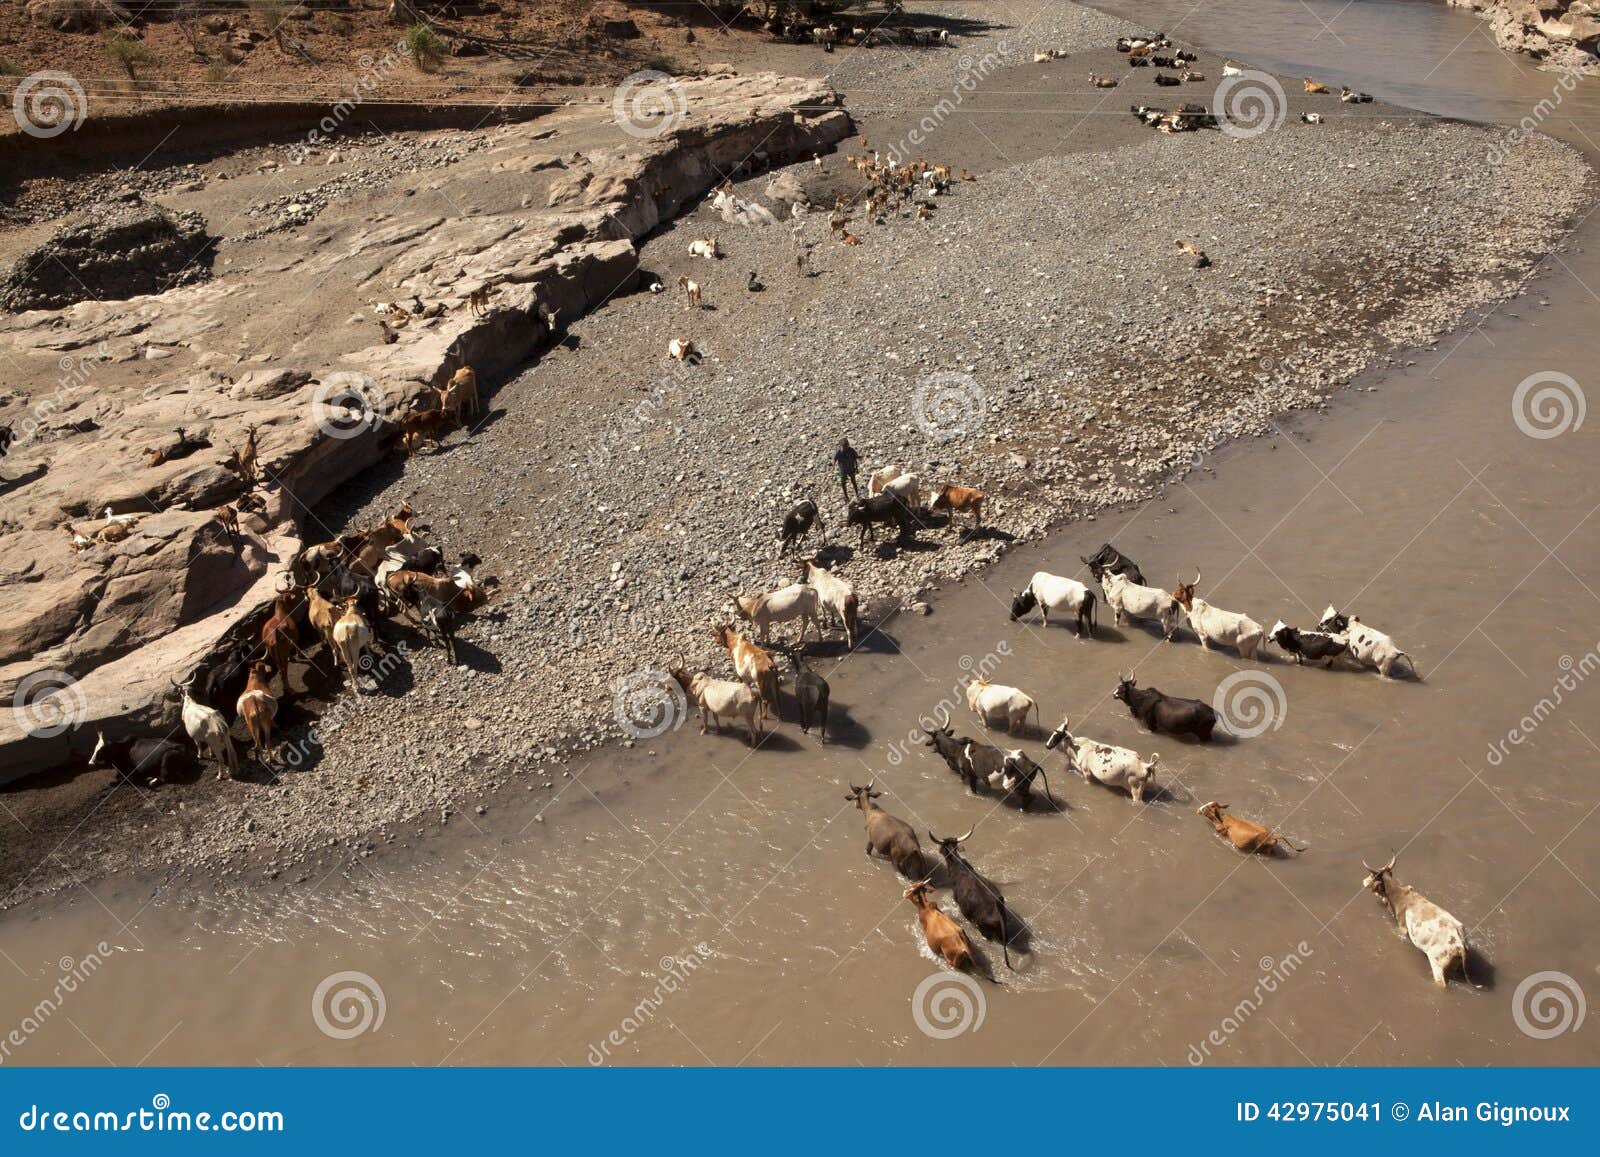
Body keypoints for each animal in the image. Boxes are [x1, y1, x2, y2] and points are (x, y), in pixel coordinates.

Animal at [1362, 854, 1479, 989]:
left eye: (1372, 876)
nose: (1363, 881)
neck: (1399, 895)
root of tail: (1459, 944)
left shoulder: (1402, 928)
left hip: (1436, 964)